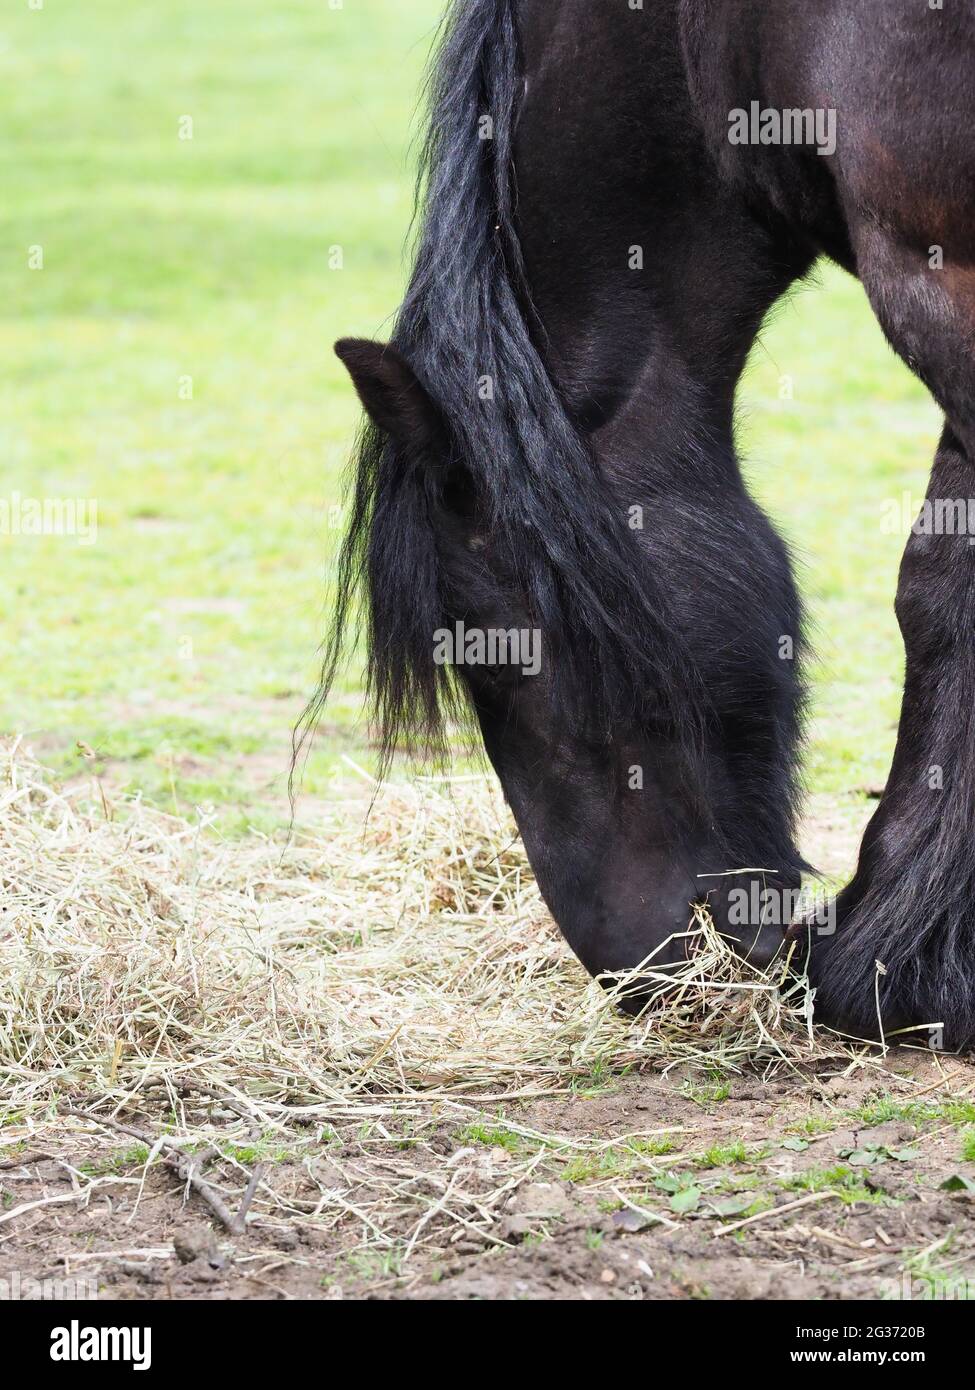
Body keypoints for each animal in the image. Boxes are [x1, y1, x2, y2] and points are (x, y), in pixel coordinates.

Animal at [313, 0, 975, 1051]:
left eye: (496, 655)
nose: (641, 972)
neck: (699, 43)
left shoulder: (939, 275)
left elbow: (940, 584)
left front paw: (893, 960)